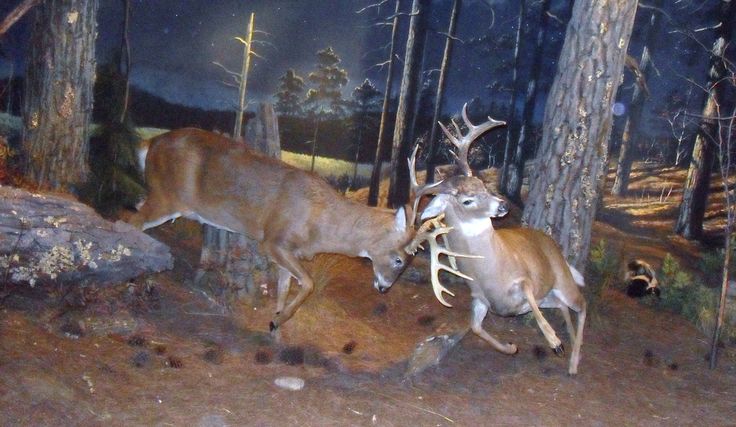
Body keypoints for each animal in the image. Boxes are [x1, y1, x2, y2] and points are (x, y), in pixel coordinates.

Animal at [129, 128, 421, 332]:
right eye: (400, 259)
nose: (384, 287)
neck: (321, 223)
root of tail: (150, 144)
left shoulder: (287, 251)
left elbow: (283, 287)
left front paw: (275, 322)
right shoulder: (273, 240)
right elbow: (308, 283)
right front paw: (278, 322)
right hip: (167, 196)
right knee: (132, 220)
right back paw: (135, 282)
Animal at [409, 104, 587, 375]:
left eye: (482, 184)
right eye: (467, 200)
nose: (503, 205)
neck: (490, 273)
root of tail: (554, 246)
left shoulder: (525, 279)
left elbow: (528, 294)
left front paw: (555, 341)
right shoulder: (480, 300)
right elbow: (476, 328)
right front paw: (512, 347)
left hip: (563, 281)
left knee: (582, 303)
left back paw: (574, 362)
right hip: (551, 296)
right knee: (565, 306)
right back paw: (570, 344)